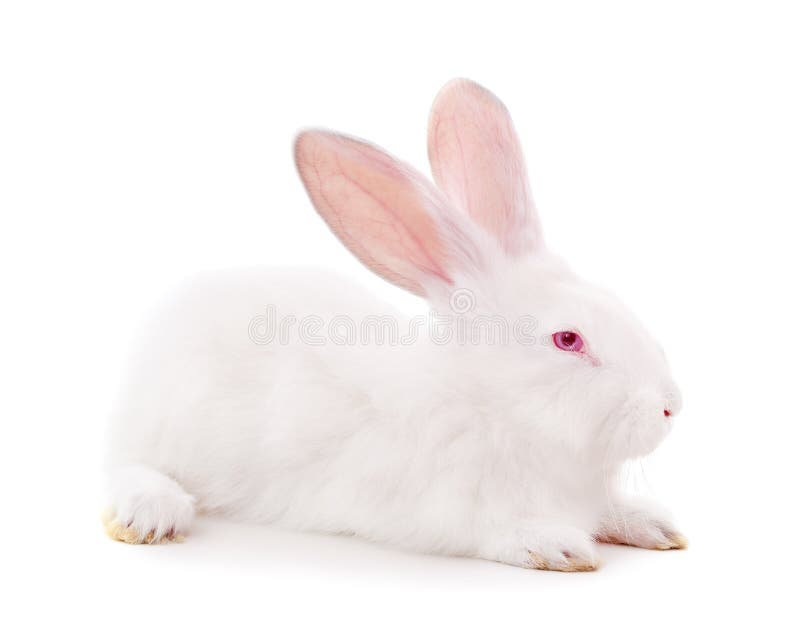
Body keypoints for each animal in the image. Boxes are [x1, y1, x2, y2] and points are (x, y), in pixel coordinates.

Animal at [103, 78, 686, 571]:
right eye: (568, 339)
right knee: (128, 466)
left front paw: (655, 525)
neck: (490, 407)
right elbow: (492, 532)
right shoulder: (438, 509)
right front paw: (558, 547)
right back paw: (151, 514)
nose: (670, 407)